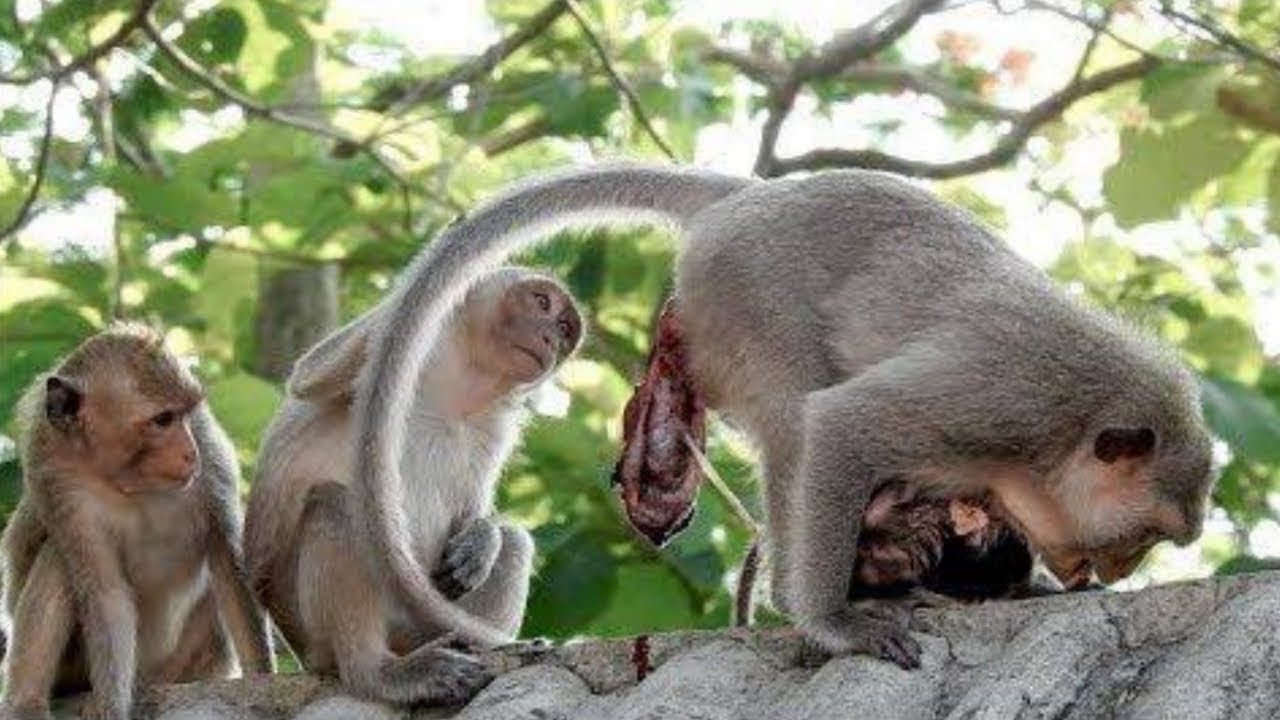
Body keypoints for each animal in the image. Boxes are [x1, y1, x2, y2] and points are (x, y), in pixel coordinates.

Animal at [0, 324, 273, 720]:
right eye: (162, 420)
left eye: (186, 414)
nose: (190, 453)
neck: (123, 478)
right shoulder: (53, 476)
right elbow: (106, 593)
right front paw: (110, 707)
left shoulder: (208, 449)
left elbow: (229, 563)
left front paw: (261, 680)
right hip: (75, 671)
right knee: (58, 560)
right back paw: (26, 702)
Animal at [243, 267, 583, 704]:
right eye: (542, 302)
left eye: (564, 328)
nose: (550, 340)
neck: (462, 385)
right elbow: (308, 378)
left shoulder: (498, 426)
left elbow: (473, 509)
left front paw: (480, 539)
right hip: (311, 630)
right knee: (336, 505)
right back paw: (378, 672)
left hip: (421, 621)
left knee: (516, 542)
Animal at [341, 162, 1214, 671]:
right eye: (1141, 538)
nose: (1111, 574)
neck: (1064, 435)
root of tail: (749, 195)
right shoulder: (1001, 400)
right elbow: (845, 425)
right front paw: (832, 621)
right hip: (739, 294)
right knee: (797, 419)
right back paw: (812, 604)